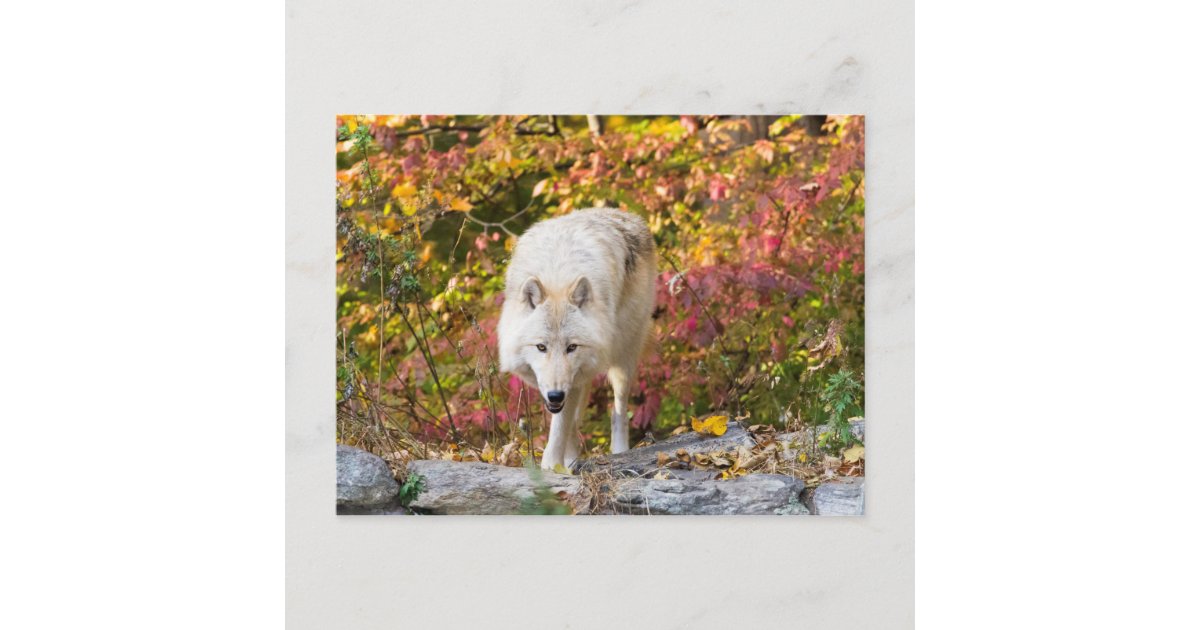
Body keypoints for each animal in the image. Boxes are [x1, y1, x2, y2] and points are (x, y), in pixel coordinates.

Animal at [497, 207, 657, 470]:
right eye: (541, 347)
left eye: (571, 347)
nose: (555, 396)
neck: (556, 278)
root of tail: (628, 216)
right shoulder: (559, 383)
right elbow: (567, 422)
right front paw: (567, 460)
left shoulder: (569, 385)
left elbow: (560, 425)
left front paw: (552, 466)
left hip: (623, 355)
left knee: (618, 411)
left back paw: (619, 449)